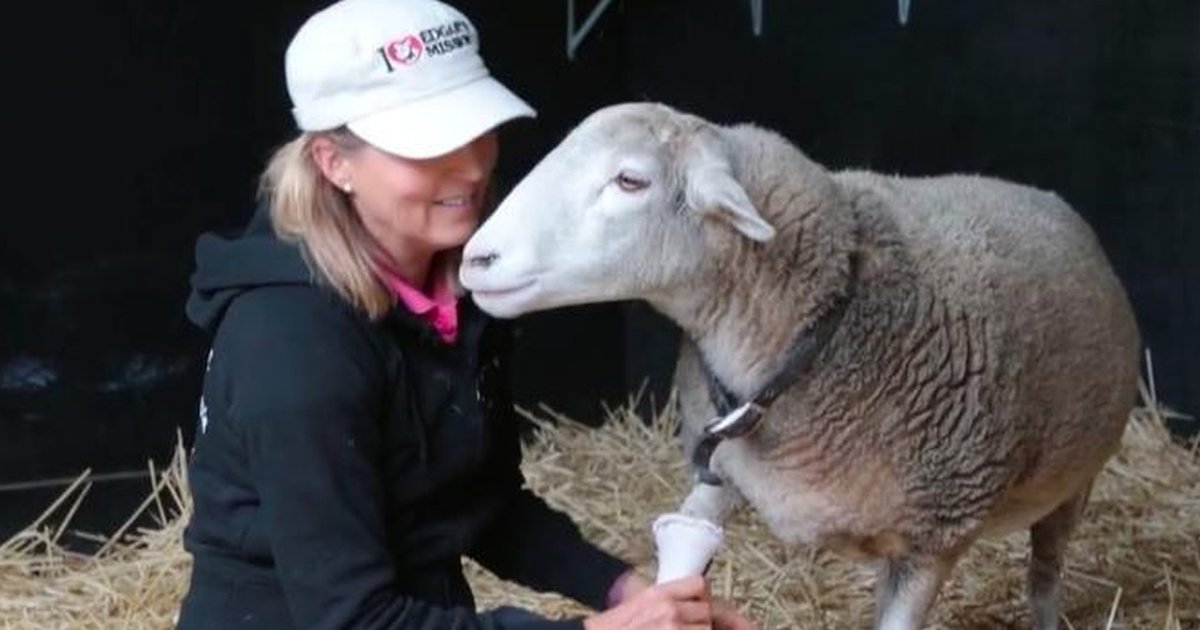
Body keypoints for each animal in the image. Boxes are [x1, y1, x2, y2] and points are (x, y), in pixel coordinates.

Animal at [459, 102, 1141, 630]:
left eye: (630, 181)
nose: (475, 259)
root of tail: (1044, 196)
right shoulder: (719, 471)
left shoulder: (933, 538)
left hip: (1075, 481)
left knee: (1045, 573)